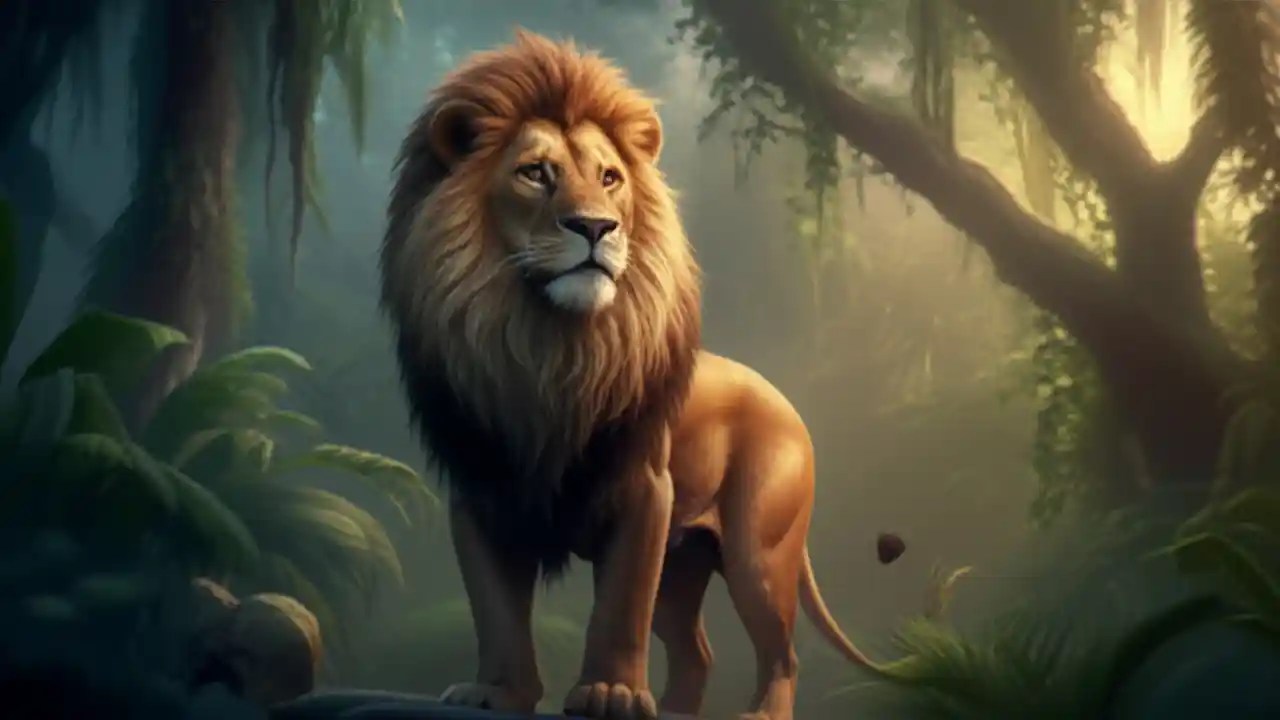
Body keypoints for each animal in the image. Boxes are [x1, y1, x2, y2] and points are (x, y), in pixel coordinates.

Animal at [381, 31, 882, 720]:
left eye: (609, 178)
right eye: (535, 173)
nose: (596, 226)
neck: (545, 347)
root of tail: (782, 398)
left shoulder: (644, 487)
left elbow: (618, 604)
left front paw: (610, 693)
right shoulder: (481, 489)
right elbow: (495, 605)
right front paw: (497, 691)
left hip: (758, 551)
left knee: (782, 652)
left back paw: (755, 712)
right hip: (683, 564)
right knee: (698, 652)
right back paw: (674, 711)